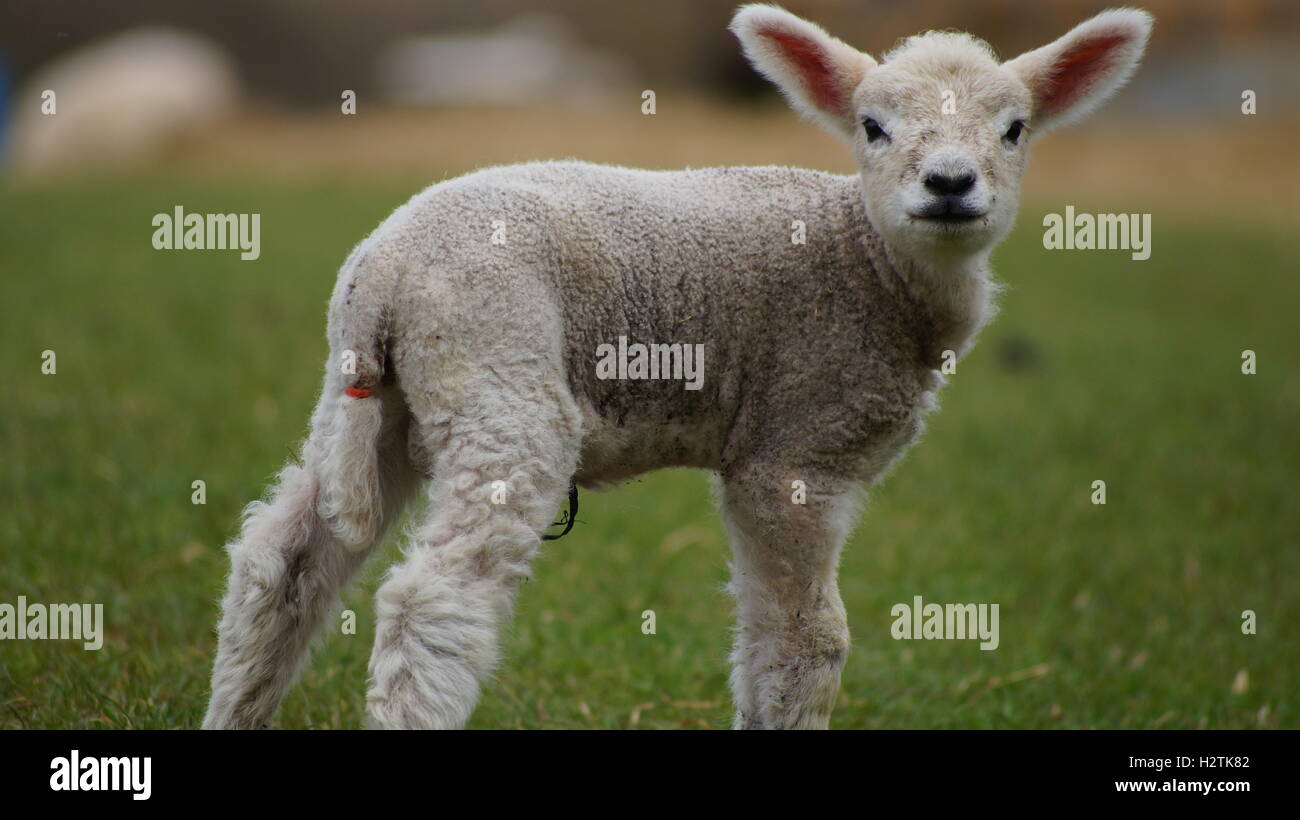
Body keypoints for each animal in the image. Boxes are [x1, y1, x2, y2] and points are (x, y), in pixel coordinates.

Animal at [202, 4, 1152, 730]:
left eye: (1014, 130)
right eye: (872, 128)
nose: (950, 185)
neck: (869, 260)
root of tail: (384, 273)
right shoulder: (792, 450)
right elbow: (805, 642)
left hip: (379, 403)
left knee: (278, 566)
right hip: (497, 375)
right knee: (432, 601)